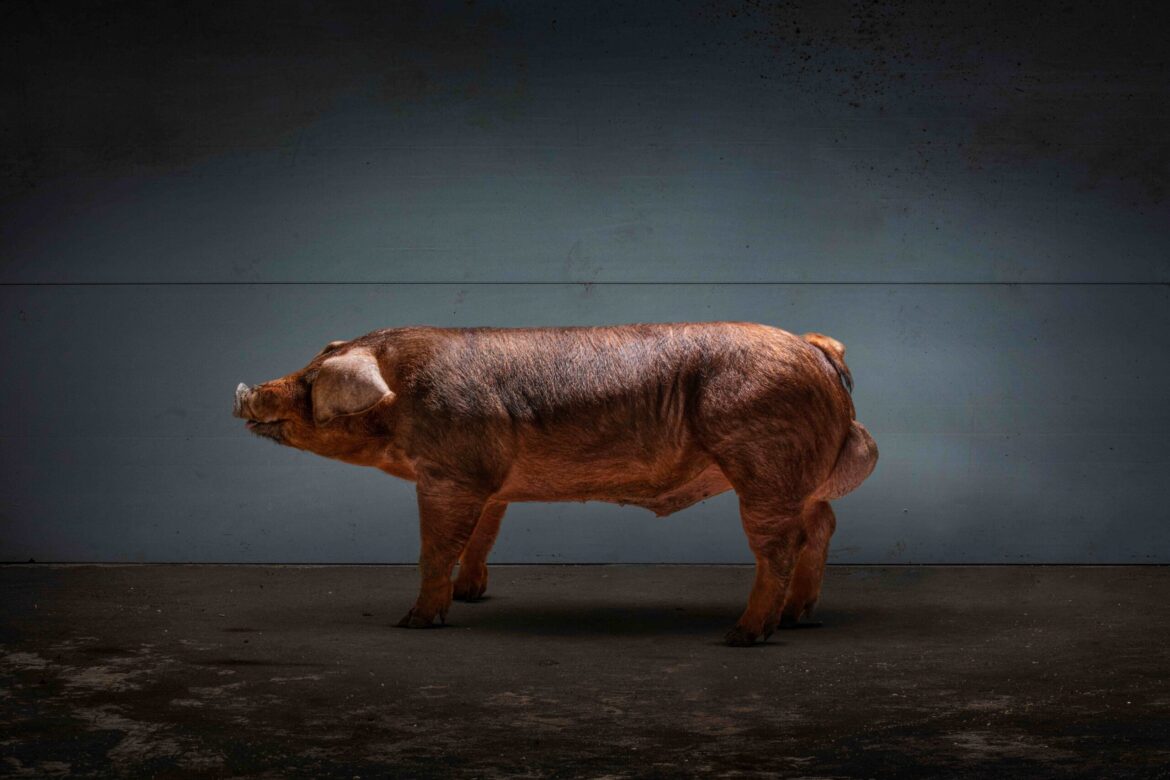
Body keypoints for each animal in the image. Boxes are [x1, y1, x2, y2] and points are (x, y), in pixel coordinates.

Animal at [232, 322, 877, 646]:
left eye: (310, 379)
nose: (246, 389)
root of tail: (814, 349)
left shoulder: (451, 472)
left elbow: (435, 549)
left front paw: (416, 620)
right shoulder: (490, 483)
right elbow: (482, 537)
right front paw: (470, 597)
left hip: (765, 459)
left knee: (779, 546)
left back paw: (744, 635)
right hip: (799, 473)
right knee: (822, 523)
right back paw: (797, 618)